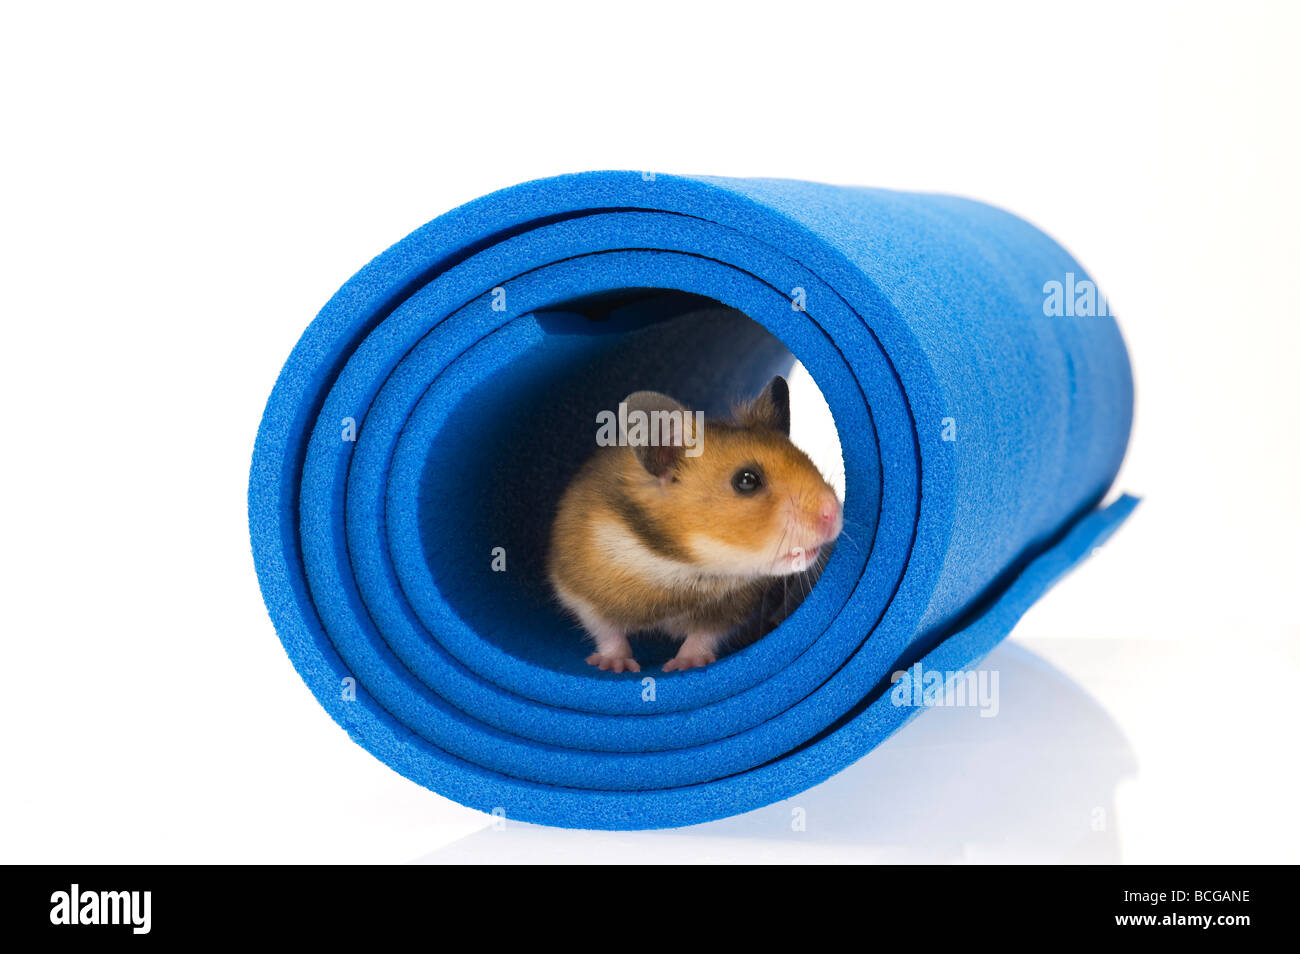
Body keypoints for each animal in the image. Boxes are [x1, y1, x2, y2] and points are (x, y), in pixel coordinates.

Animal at [546, 375, 842, 674]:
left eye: (807, 458)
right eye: (747, 480)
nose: (835, 514)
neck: (682, 563)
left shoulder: (731, 609)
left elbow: (704, 634)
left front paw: (685, 665)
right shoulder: (578, 587)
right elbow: (605, 629)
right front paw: (614, 666)